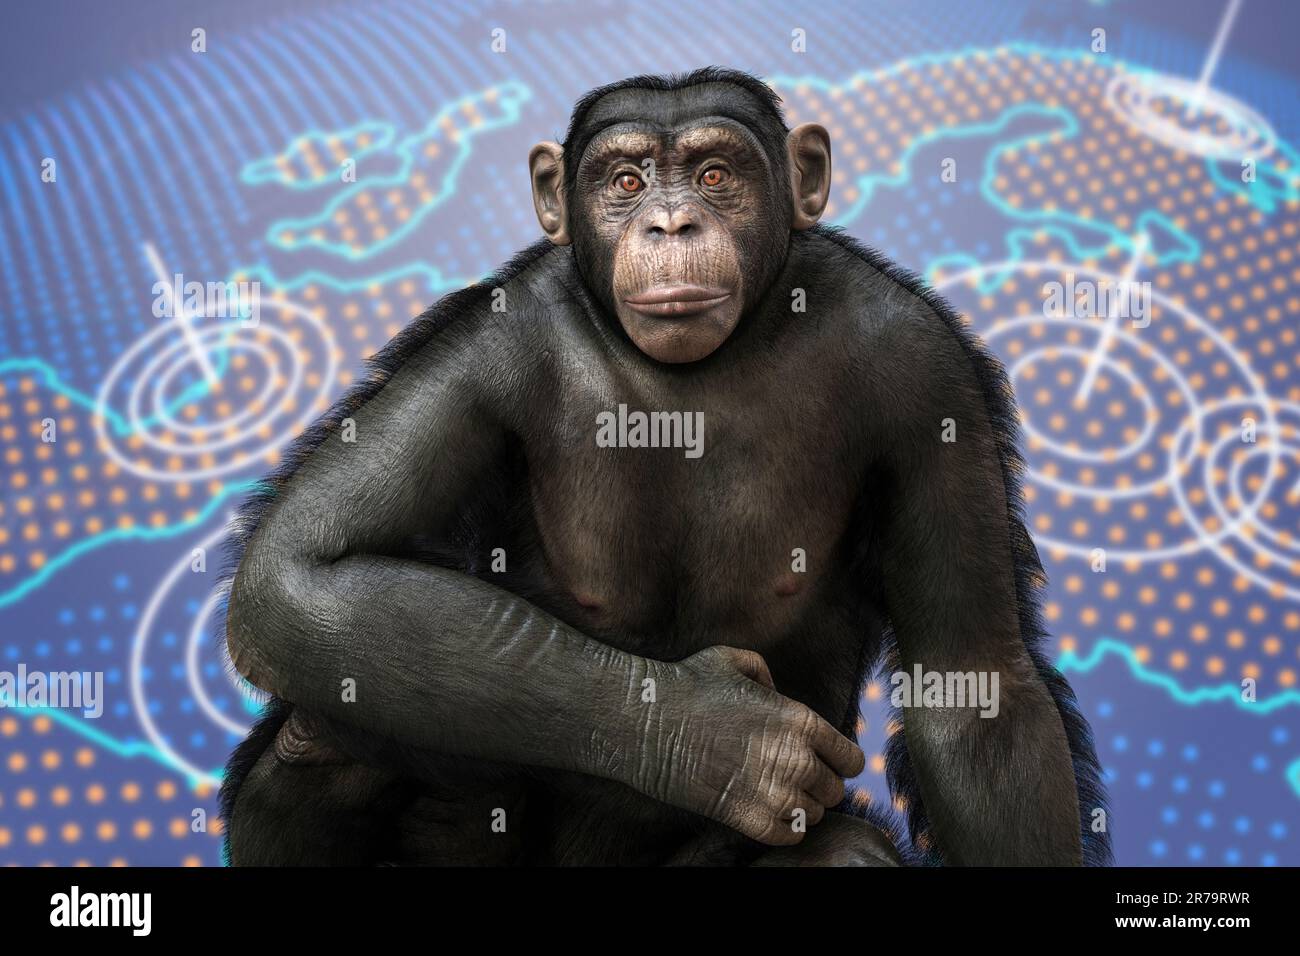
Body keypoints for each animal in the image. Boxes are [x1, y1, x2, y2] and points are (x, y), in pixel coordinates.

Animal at [219, 68, 1110, 866]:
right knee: (333, 719)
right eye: (625, 180)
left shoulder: (925, 369)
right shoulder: (486, 351)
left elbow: (975, 689)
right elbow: (302, 571)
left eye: (716, 174)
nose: (672, 222)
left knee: (850, 851)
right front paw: (720, 736)